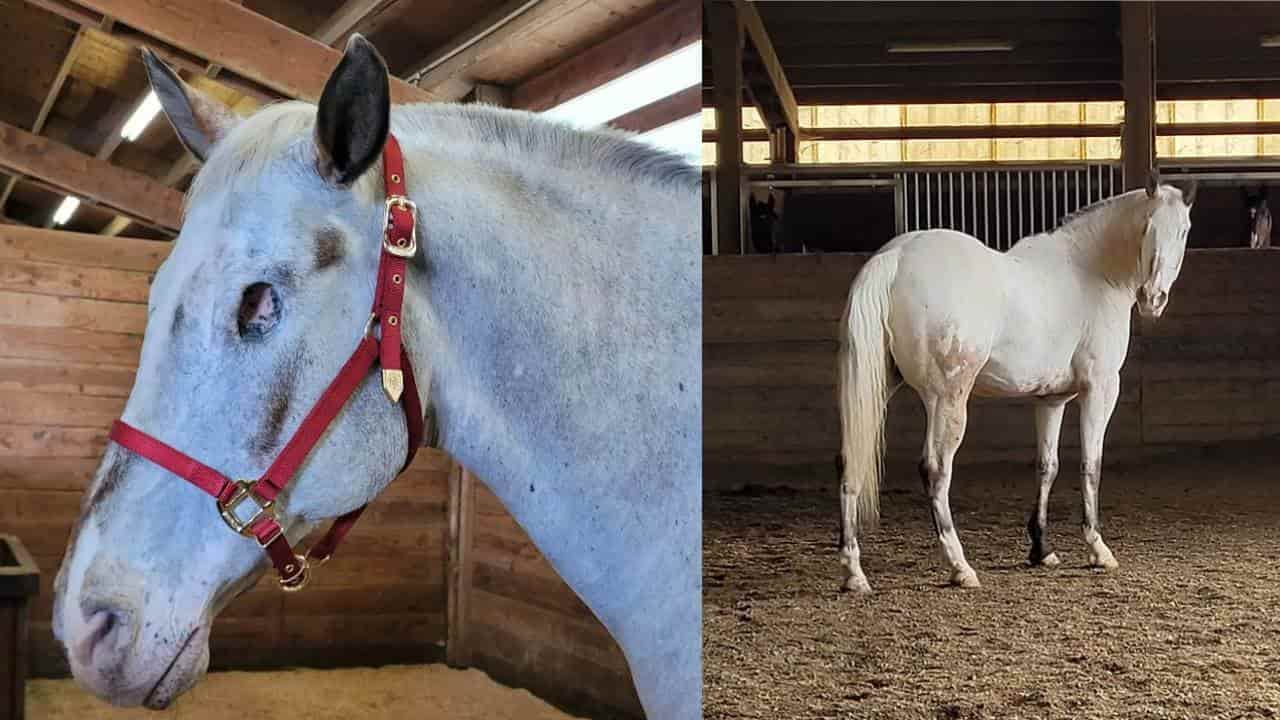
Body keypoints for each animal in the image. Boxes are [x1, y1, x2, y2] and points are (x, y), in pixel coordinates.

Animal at [835, 174, 1195, 592]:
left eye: (1183, 231)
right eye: (1148, 227)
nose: (1153, 298)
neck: (1092, 270)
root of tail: (895, 258)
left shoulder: (1051, 399)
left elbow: (1047, 466)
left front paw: (1041, 549)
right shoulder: (1100, 389)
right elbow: (1091, 464)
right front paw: (1098, 550)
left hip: (875, 393)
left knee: (850, 460)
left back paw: (854, 573)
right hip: (947, 399)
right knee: (936, 470)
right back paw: (960, 567)